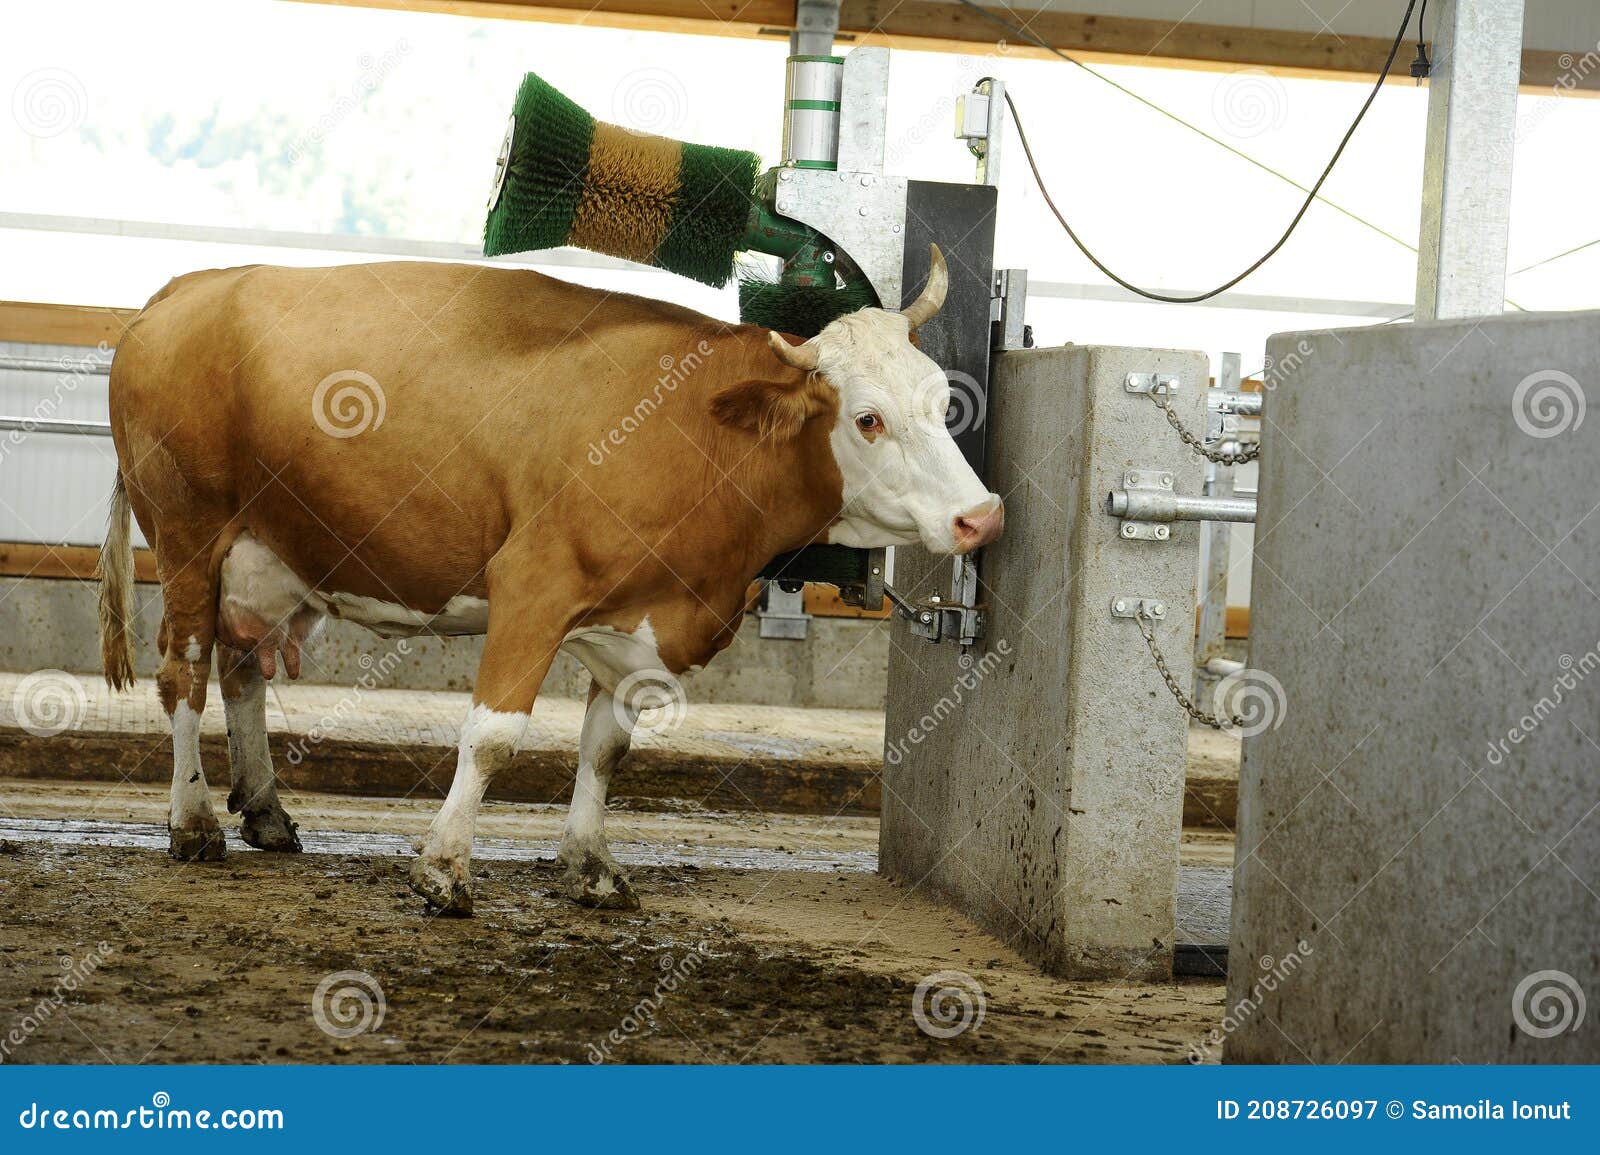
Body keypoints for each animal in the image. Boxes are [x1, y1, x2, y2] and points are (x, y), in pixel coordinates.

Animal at [96, 244, 1003, 915]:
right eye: (867, 419)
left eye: (942, 400)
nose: (981, 516)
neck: (696, 437)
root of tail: (189, 287)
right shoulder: (533, 585)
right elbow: (493, 736)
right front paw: (444, 868)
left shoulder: (639, 625)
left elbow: (607, 748)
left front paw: (590, 863)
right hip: (187, 536)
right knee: (184, 674)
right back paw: (192, 820)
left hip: (270, 555)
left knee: (242, 668)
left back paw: (266, 809)